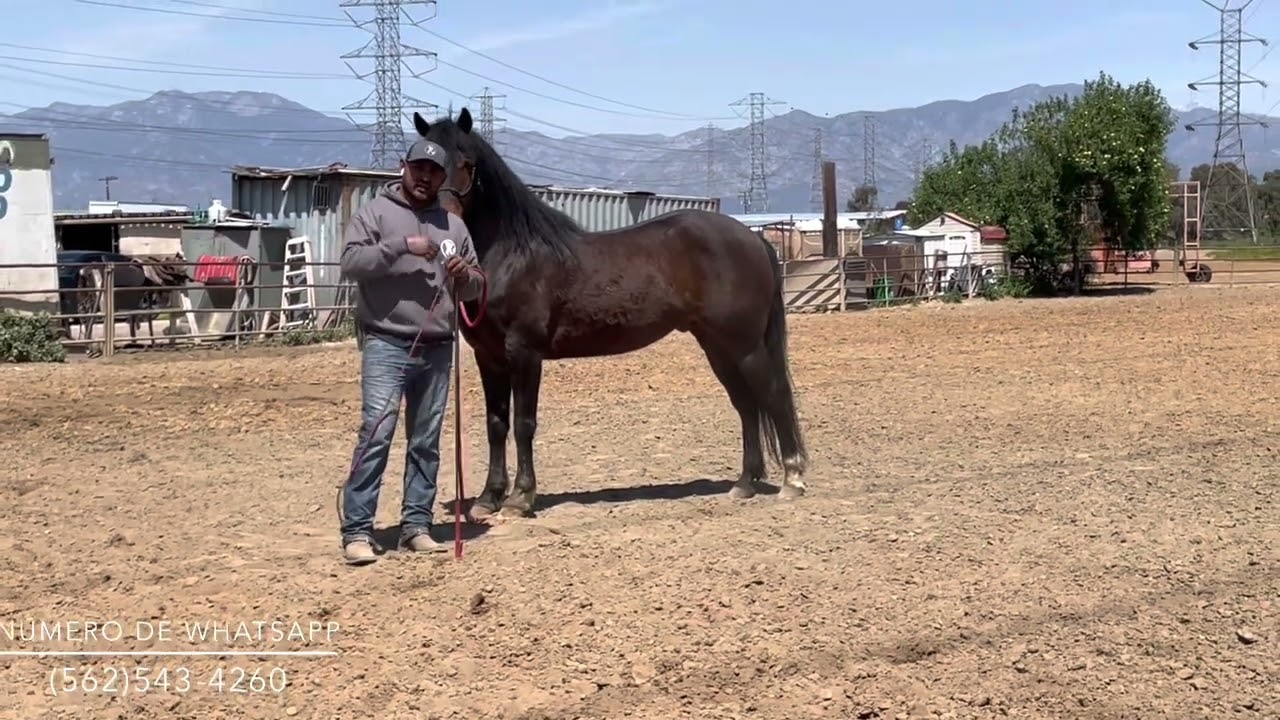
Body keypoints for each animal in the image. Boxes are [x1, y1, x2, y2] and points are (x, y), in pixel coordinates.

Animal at [414, 107, 809, 518]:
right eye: (424, 165)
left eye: (466, 162)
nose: (443, 221)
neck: (512, 255)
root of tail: (754, 239)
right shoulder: (488, 357)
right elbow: (496, 424)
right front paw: (488, 498)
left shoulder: (524, 353)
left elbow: (524, 423)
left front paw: (521, 497)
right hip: (717, 345)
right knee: (746, 404)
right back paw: (745, 483)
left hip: (745, 345)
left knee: (774, 394)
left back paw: (792, 480)